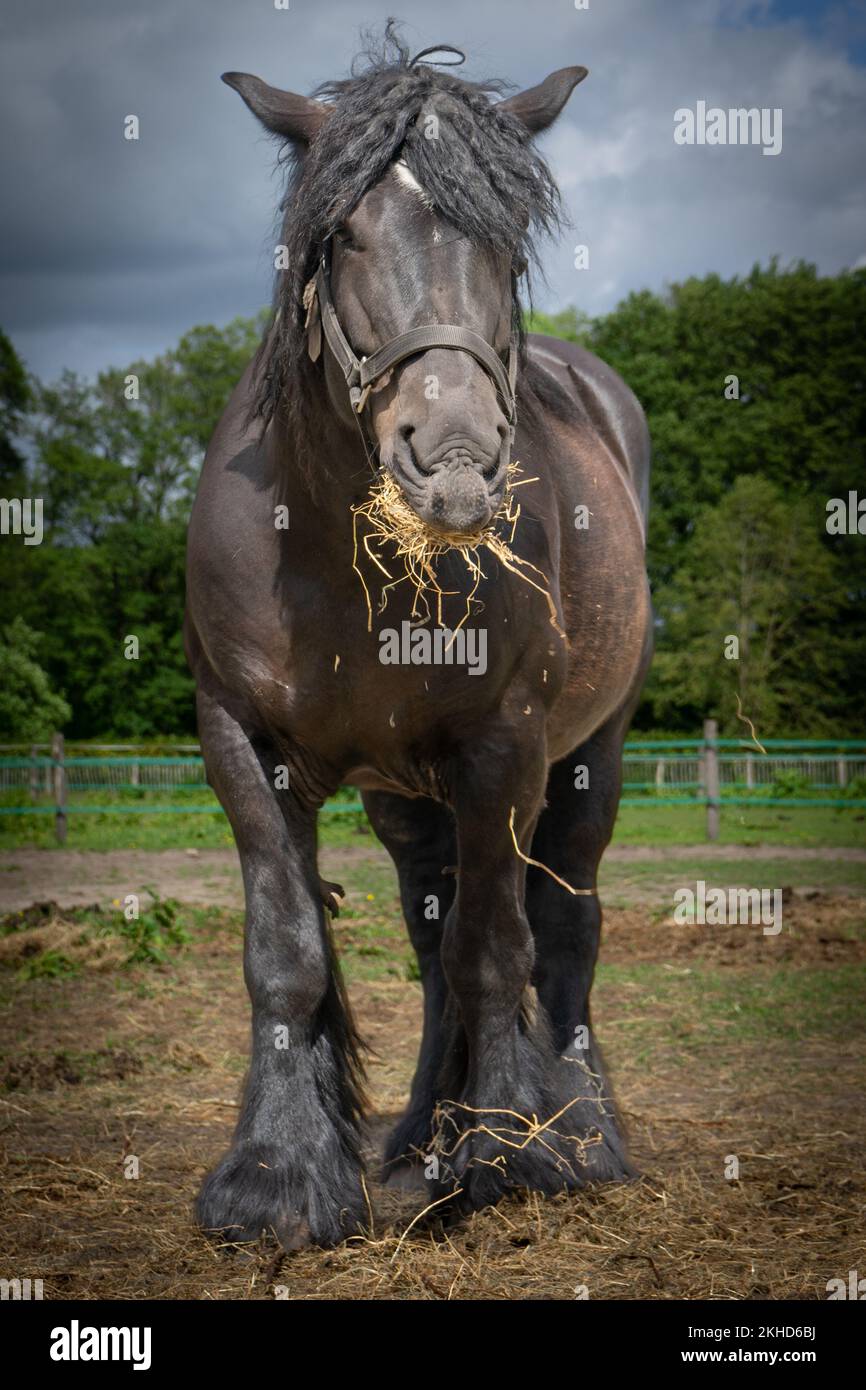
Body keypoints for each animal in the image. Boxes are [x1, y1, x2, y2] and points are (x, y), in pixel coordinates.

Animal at [185, 30, 652, 1251]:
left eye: (502, 241)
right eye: (343, 233)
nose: (452, 462)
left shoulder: (506, 750)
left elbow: (498, 948)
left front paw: (509, 1156)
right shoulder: (240, 742)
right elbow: (288, 952)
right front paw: (279, 1174)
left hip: (589, 758)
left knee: (563, 930)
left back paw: (578, 1128)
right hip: (408, 801)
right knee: (432, 937)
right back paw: (414, 1140)